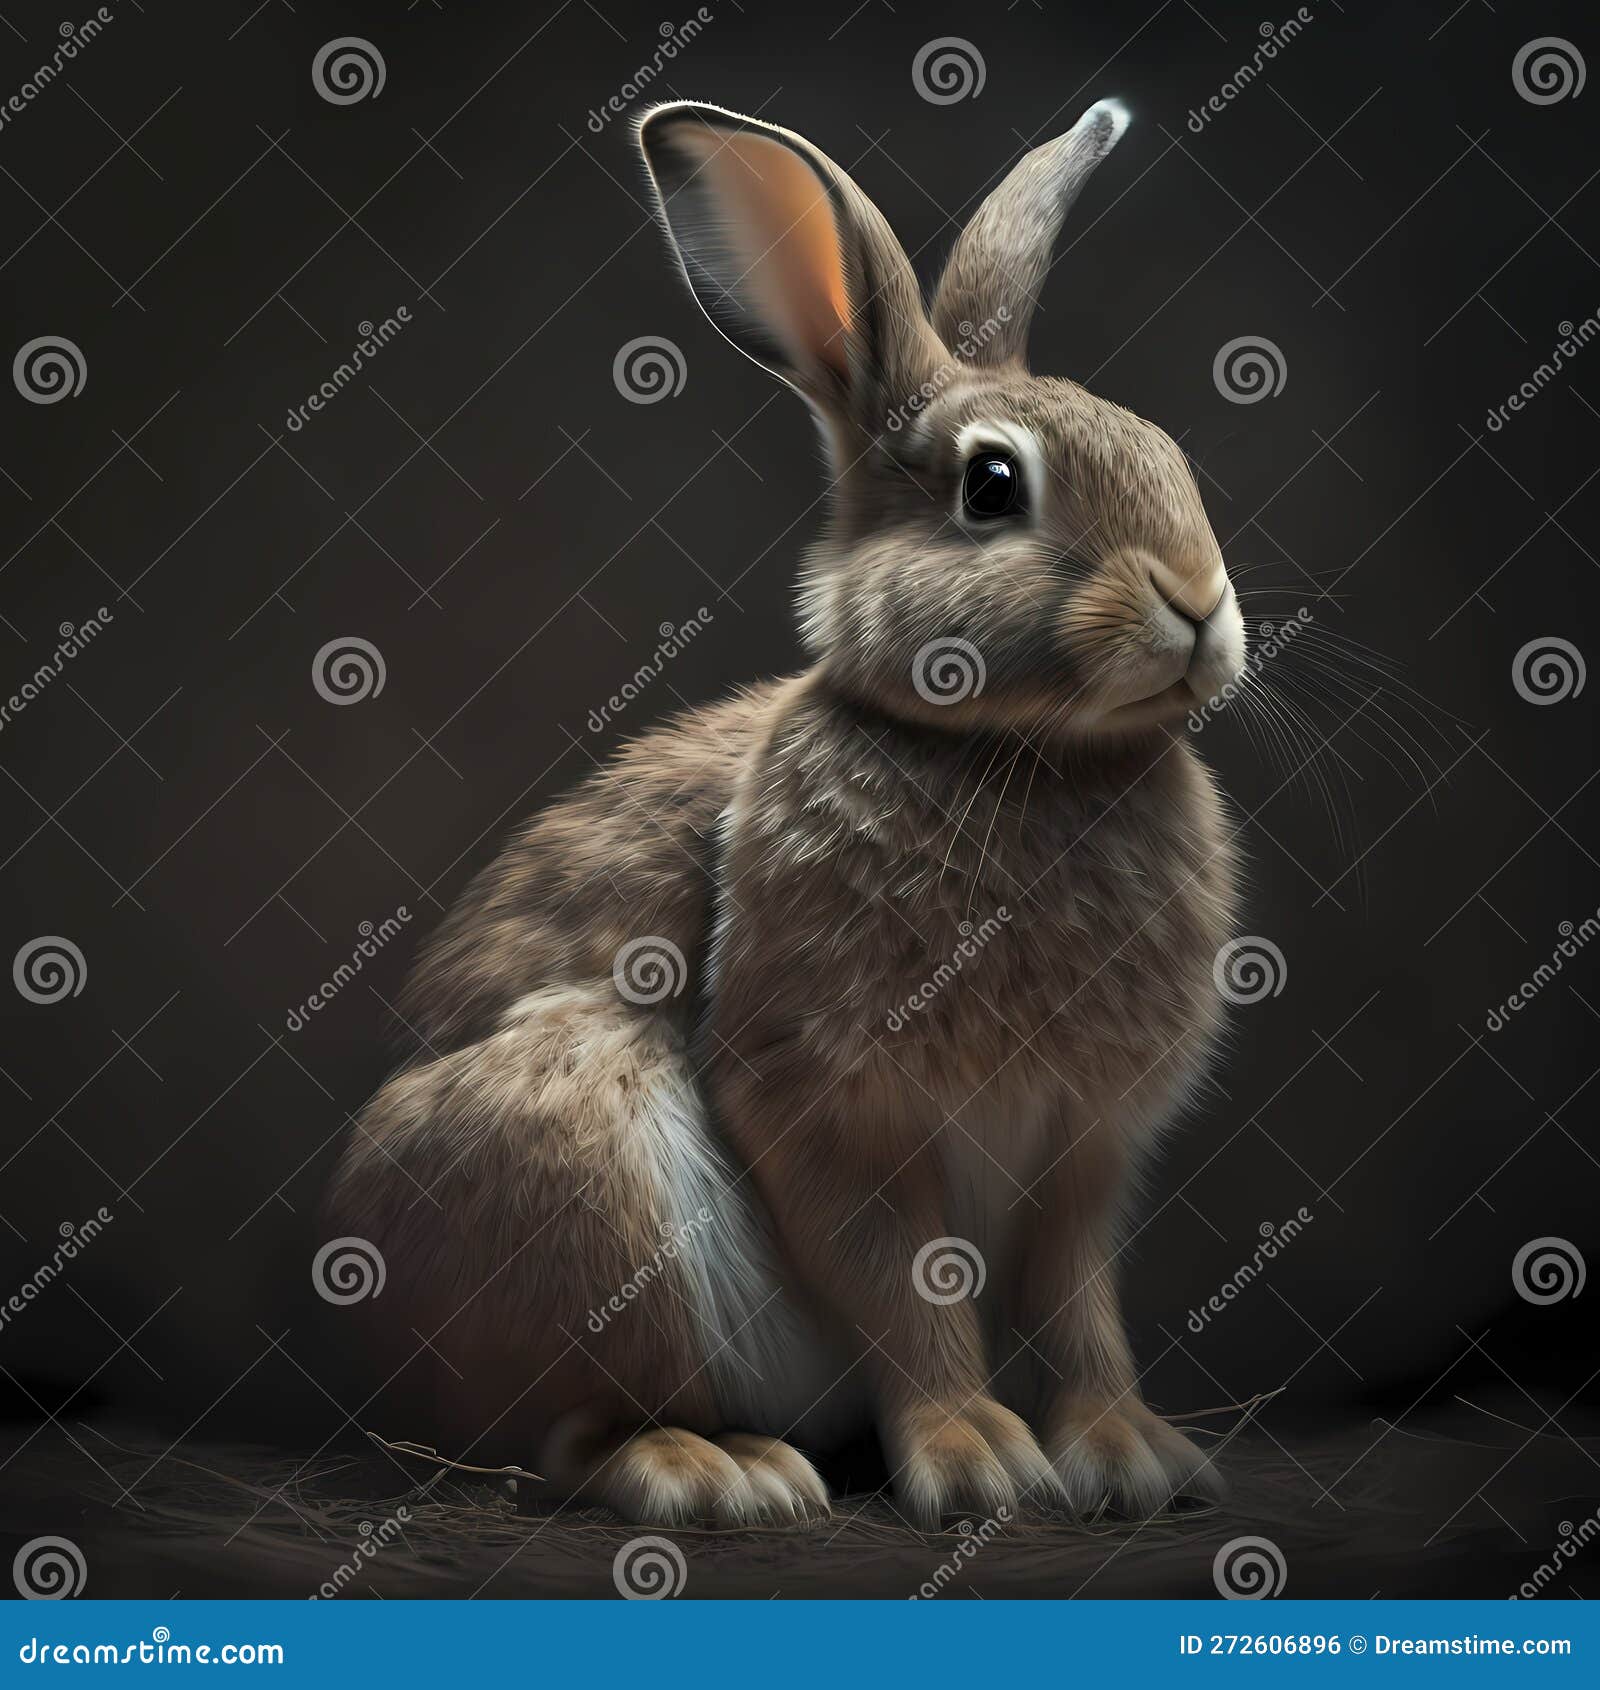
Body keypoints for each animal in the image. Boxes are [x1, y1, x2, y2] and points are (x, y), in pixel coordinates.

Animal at [326, 95, 1248, 1530]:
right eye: (992, 487)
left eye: (1164, 451)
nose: (1200, 602)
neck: (1020, 754)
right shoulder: (829, 1100)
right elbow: (902, 1275)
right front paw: (977, 1457)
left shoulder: (1087, 1147)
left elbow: (1078, 1298)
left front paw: (1128, 1453)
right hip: (585, 1162)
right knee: (570, 1430)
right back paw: (716, 1469)